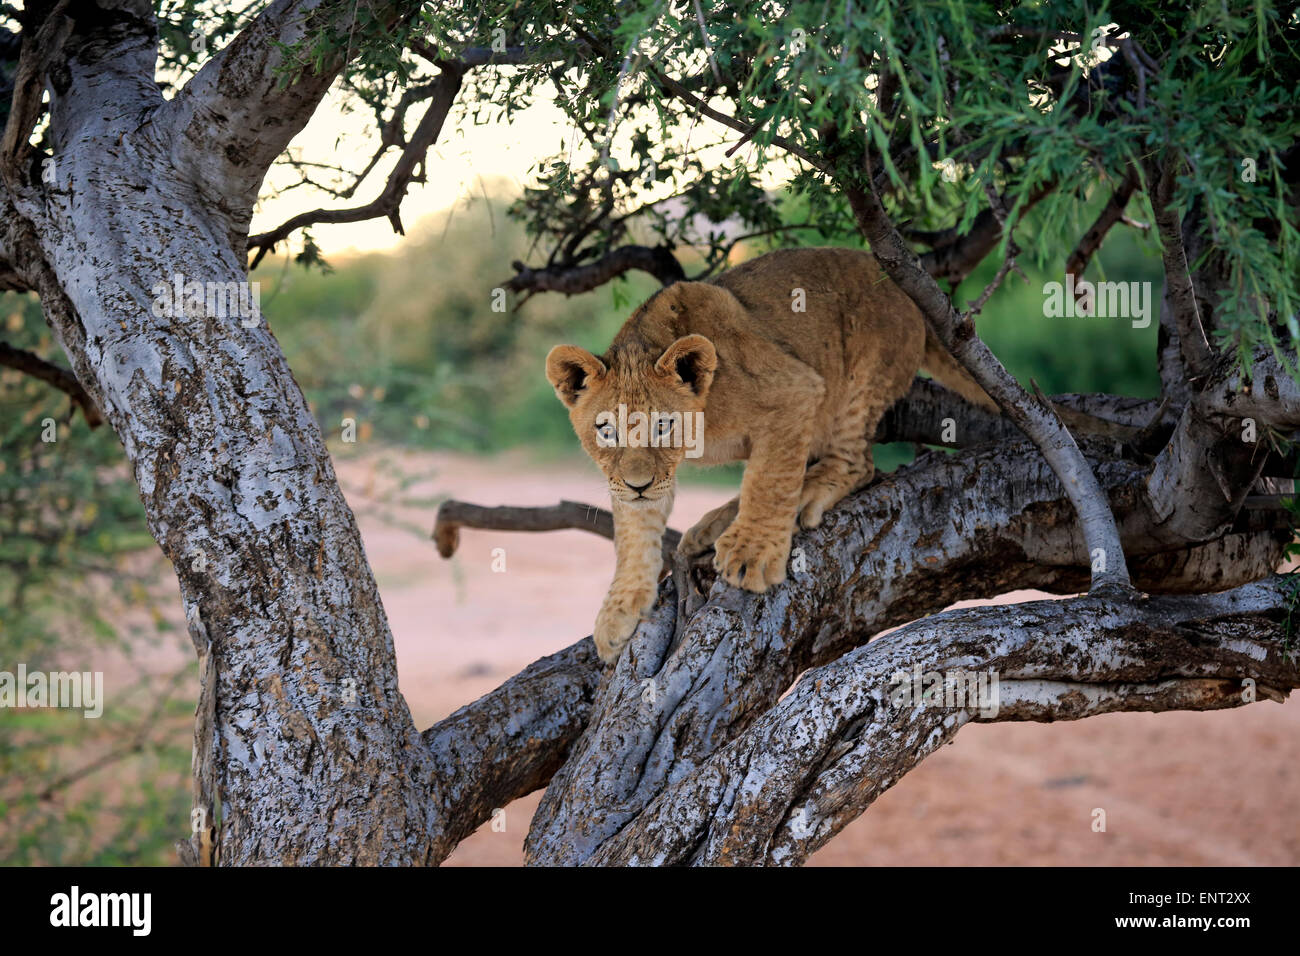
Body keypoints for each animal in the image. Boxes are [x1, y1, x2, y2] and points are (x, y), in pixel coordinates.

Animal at [546, 246, 995, 663]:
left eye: (663, 426)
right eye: (606, 430)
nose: (638, 485)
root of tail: (907, 294)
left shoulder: (794, 389)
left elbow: (770, 479)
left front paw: (754, 555)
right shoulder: (638, 478)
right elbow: (634, 530)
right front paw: (619, 610)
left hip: (859, 375)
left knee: (857, 462)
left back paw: (803, 495)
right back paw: (713, 525)